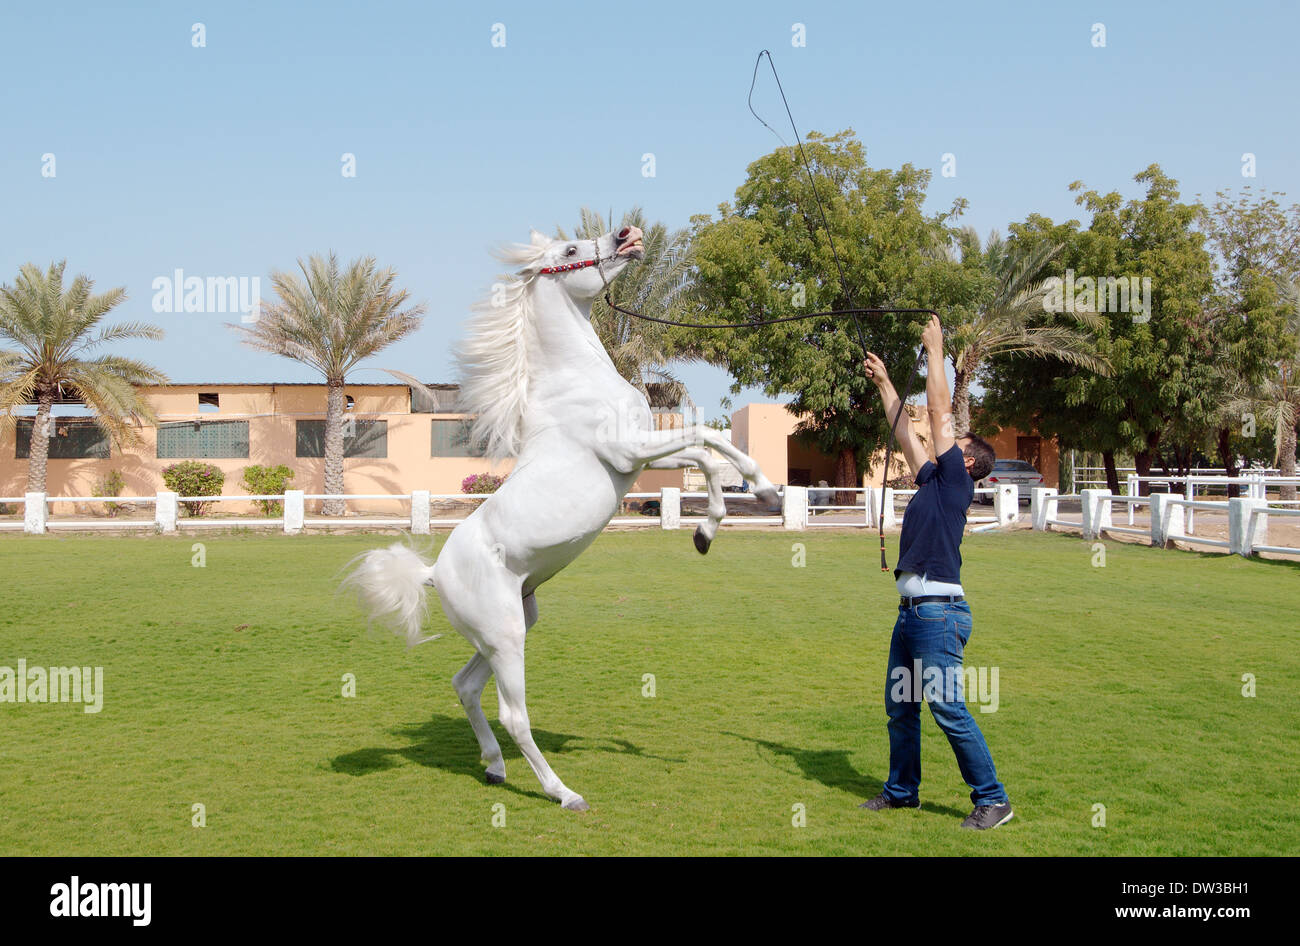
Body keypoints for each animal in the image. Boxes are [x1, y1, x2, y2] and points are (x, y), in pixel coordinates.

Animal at [343, 225, 782, 810]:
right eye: (571, 251)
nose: (628, 235)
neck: (578, 380)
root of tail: (433, 572)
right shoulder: (628, 450)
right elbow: (707, 442)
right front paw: (745, 504)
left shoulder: (639, 459)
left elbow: (705, 453)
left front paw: (724, 519)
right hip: (505, 636)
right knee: (513, 714)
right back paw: (563, 793)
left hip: (508, 627)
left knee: (464, 686)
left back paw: (495, 767)